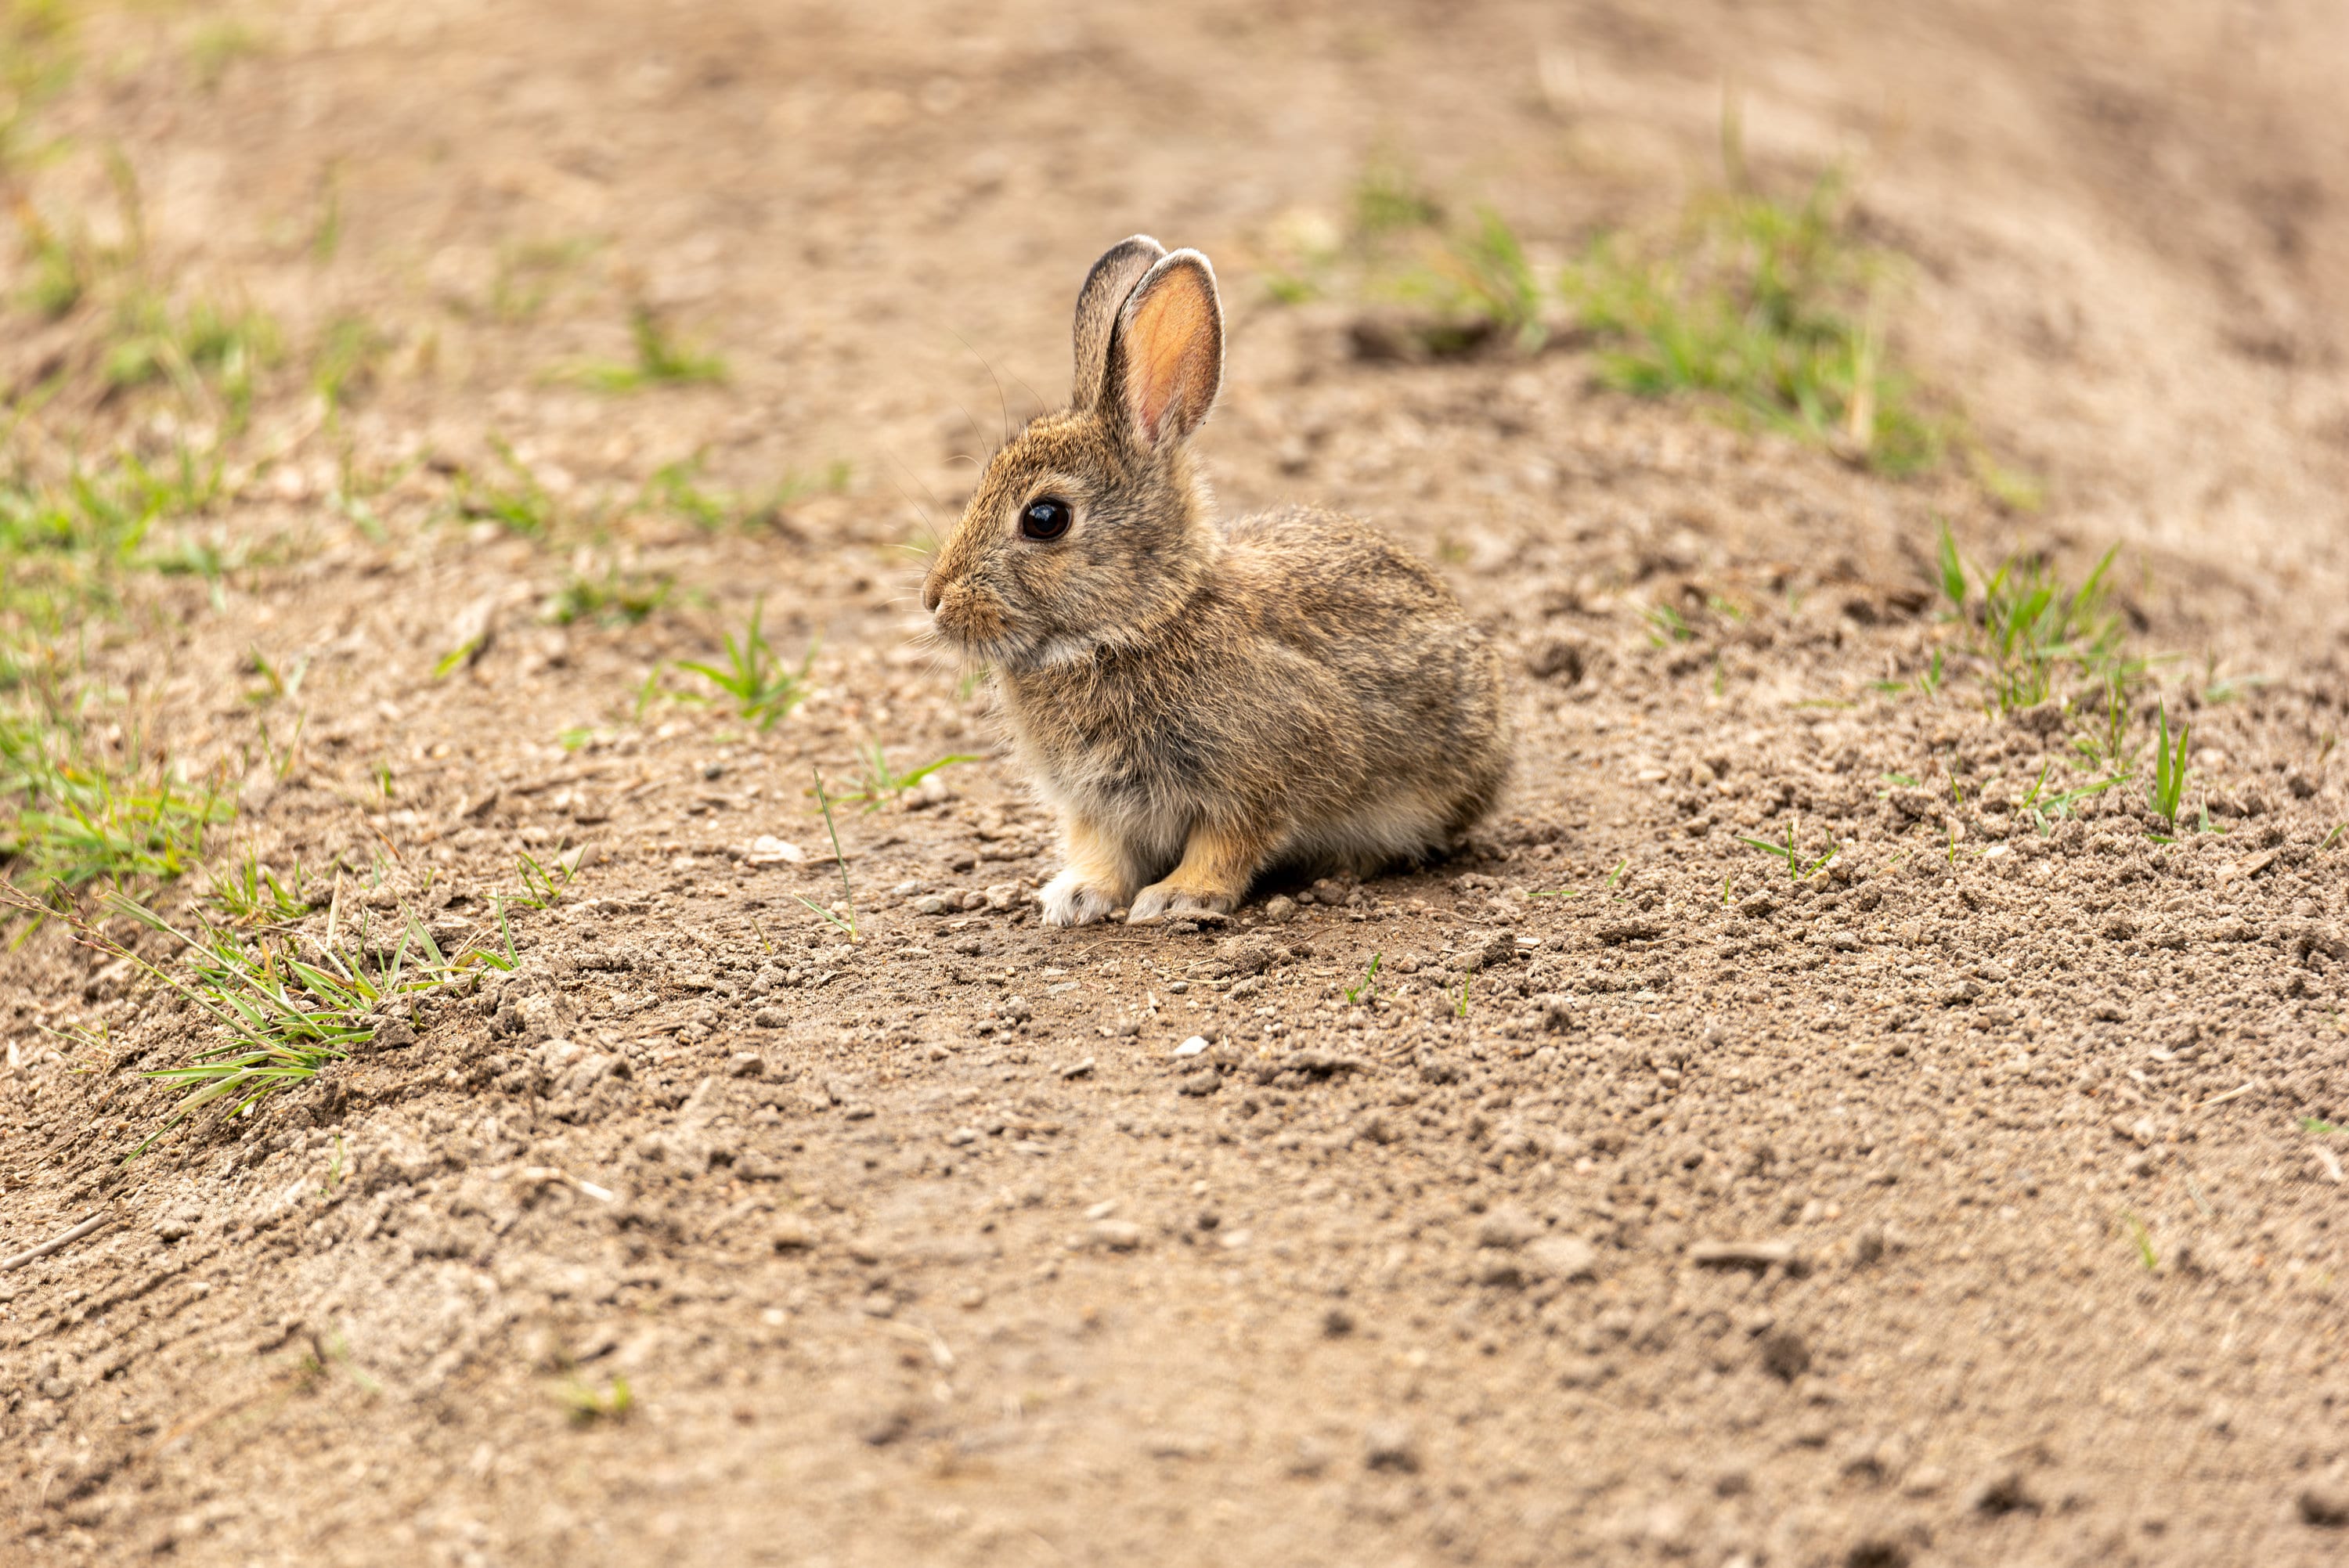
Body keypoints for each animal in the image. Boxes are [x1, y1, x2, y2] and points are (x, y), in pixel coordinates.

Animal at [921, 234, 1509, 925]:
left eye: (1045, 518)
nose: (935, 600)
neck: (1145, 621)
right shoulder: (1097, 804)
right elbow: (1102, 849)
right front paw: (1076, 896)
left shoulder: (1256, 779)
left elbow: (1227, 843)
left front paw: (1177, 897)